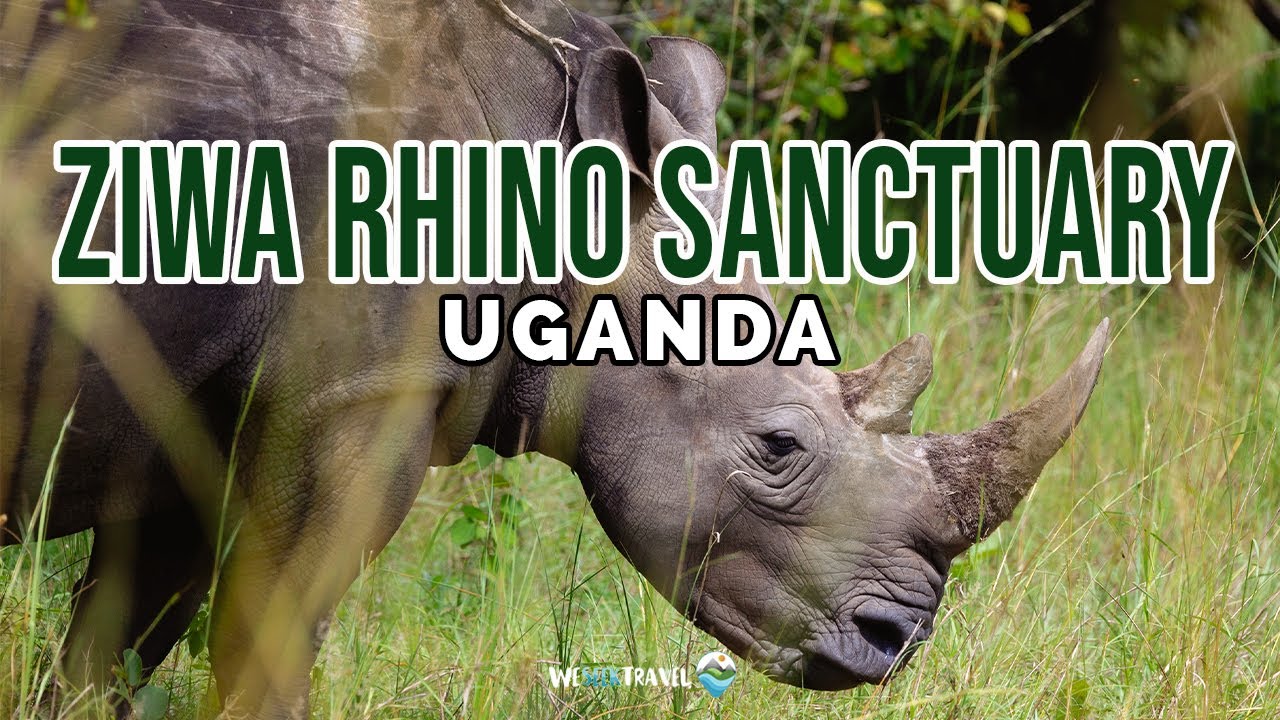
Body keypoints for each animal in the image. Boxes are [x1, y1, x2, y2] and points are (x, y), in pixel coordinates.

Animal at [0, 0, 1109, 717]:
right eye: (778, 448)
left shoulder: (189, 406)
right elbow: (267, 644)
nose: (896, 642)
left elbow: (109, 651)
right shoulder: (351, 395)